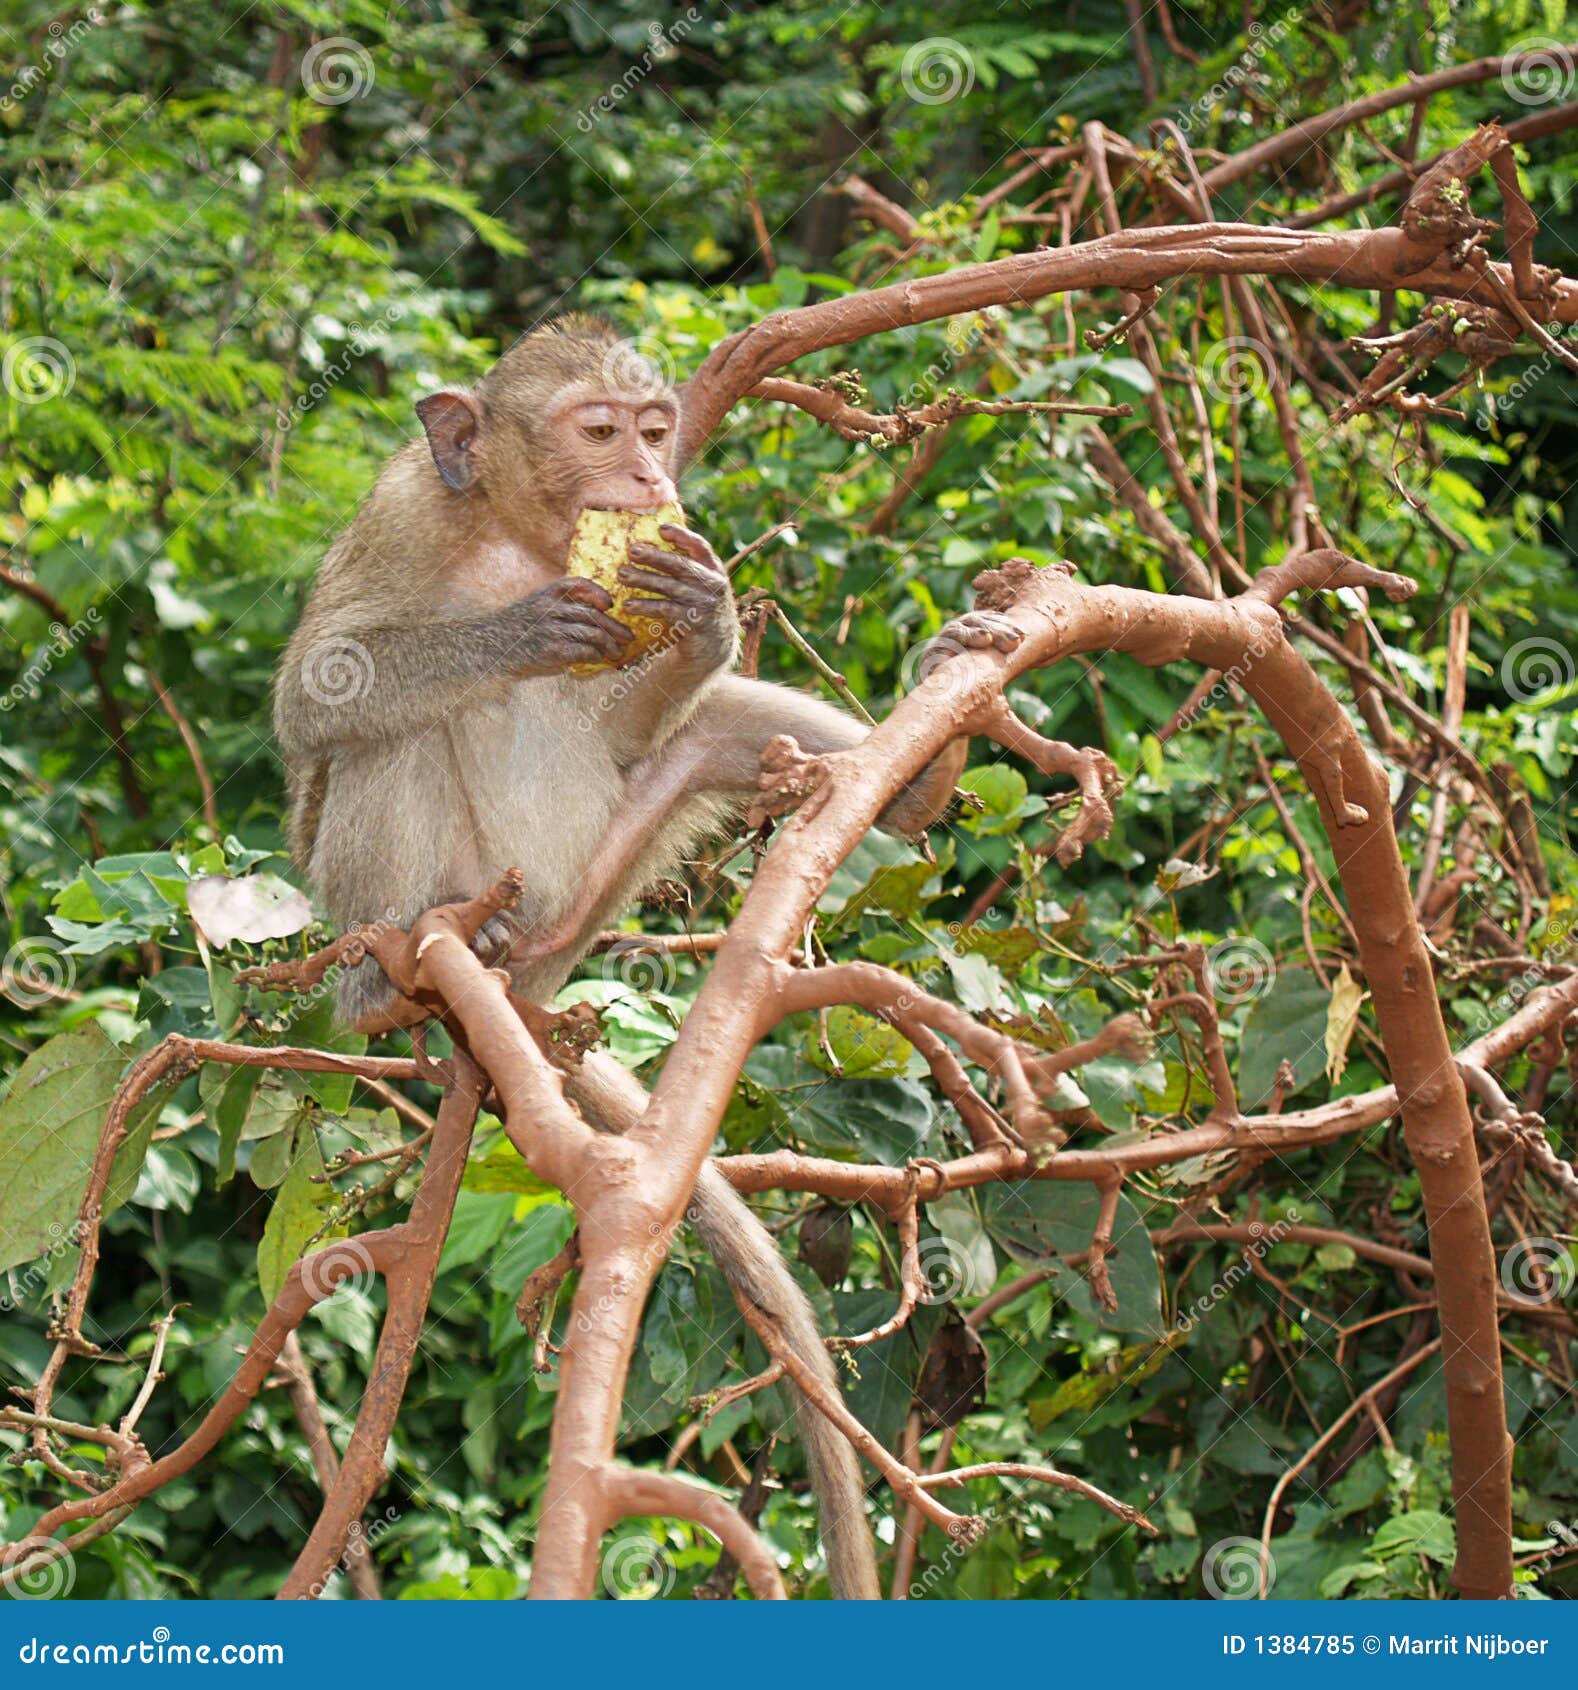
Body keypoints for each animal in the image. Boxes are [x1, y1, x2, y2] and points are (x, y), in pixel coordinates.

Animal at [273, 314, 1019, 1599]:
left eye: (655, 428)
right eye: (598, 428)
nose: (644, 475)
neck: (517, 535)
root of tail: (532, 968)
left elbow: (642, 711)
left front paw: (707, 619)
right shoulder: (403, 512)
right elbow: (316, 698)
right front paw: (516, 634)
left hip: (608, 871)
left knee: (712, 729)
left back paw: (918, 773)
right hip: (443, 898)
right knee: (391, 739)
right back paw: (387, 981)